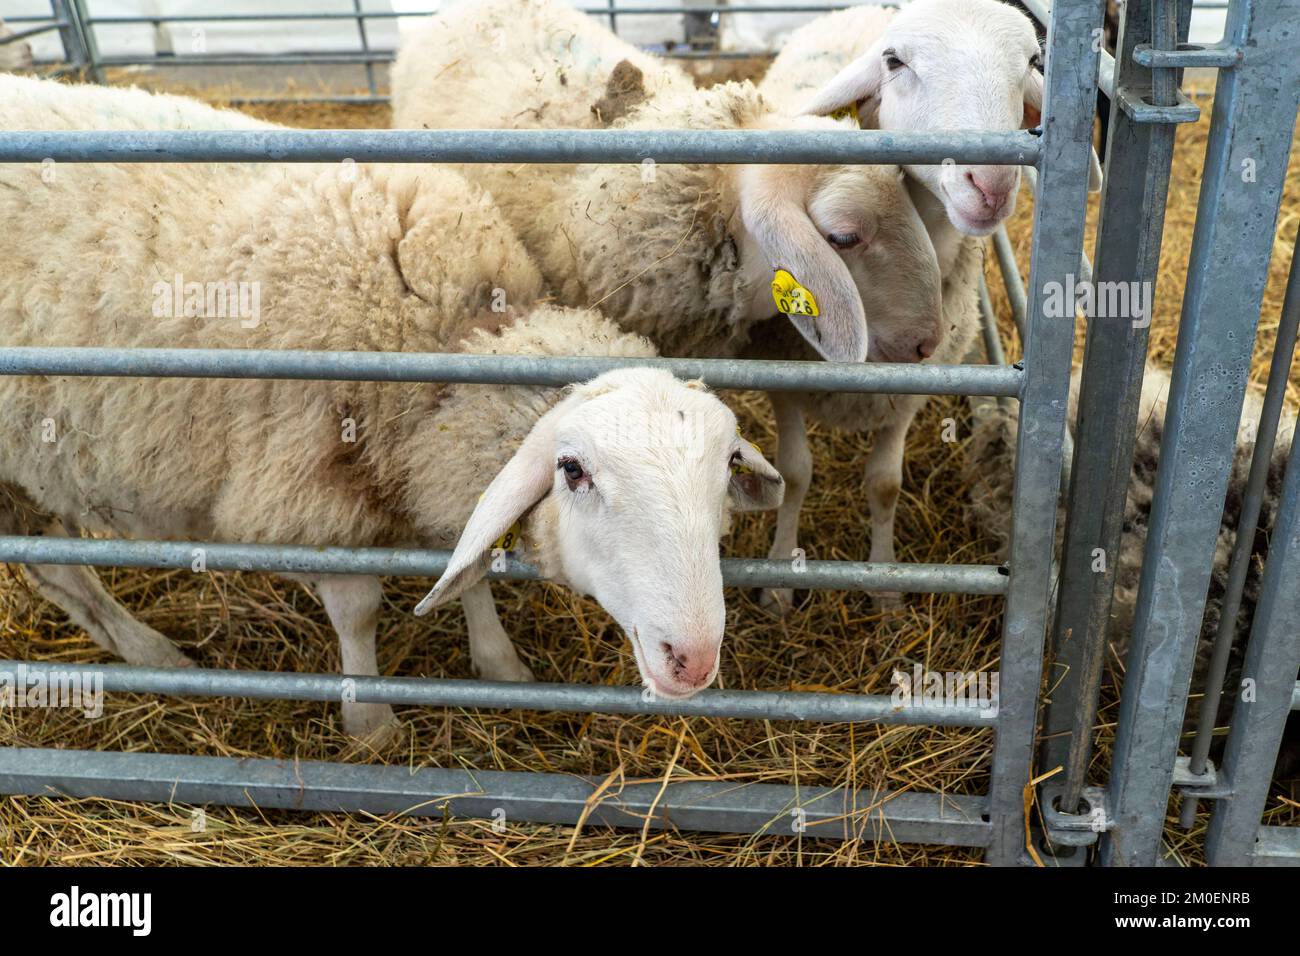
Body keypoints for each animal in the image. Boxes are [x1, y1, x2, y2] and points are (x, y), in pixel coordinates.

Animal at [0, 75, 786, 744]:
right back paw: (158, 655)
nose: (691, 658)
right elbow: (359, 612)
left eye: (726, 471)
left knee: (54, 572)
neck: (453, 341)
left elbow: (467, 561)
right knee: (62, 572)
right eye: (572, 471)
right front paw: (371, 722)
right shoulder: (309, 499)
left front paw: (498, 663)